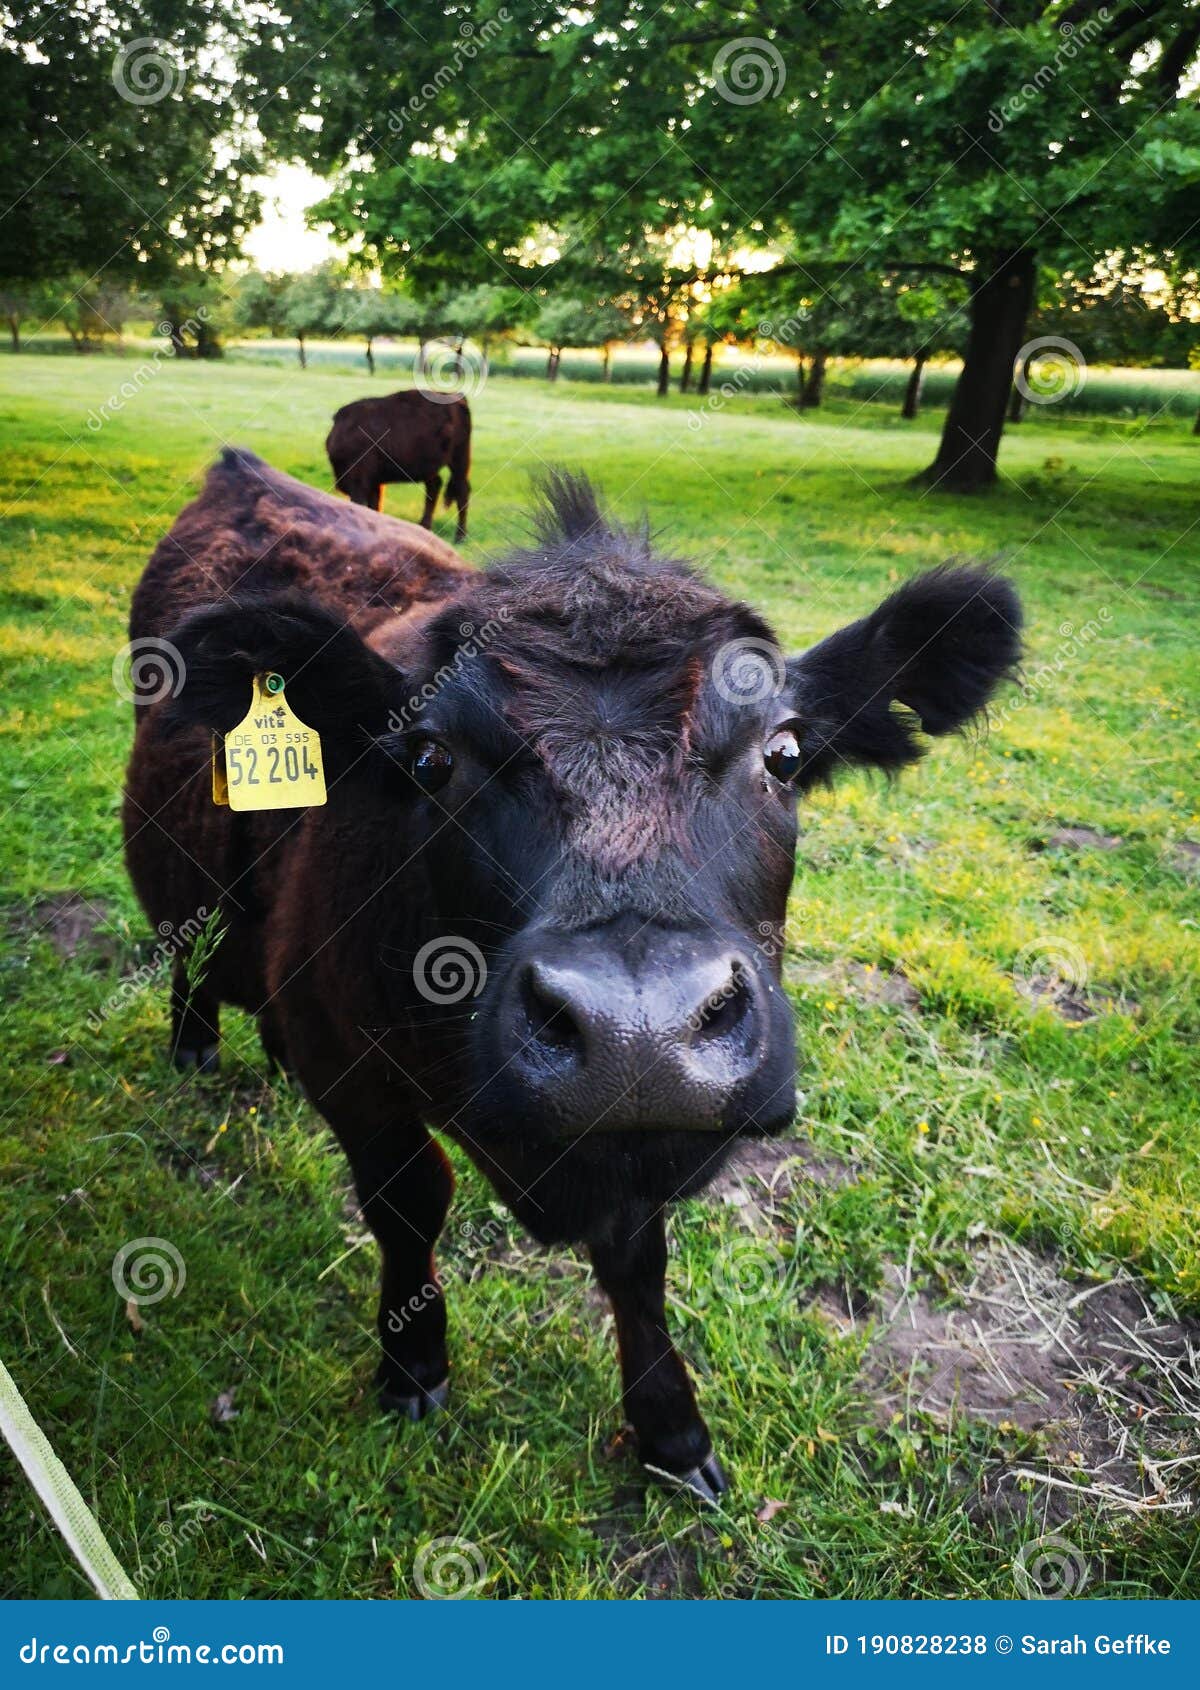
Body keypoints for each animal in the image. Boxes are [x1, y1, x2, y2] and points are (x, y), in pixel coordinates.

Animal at [123, 448, 1020, 1499]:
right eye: (429, 758)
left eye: (787, 751)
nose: (639, 1029)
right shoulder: (351, 1070)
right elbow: (409, 1199)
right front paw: (413, 1364)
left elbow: (637, 1258)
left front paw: (672, 1431)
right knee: (189, 948)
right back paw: (195, 1043)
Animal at [326, 388, 471, 541]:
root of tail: (457, 397)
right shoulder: (374, 483)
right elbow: (374, 506)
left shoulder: (360, 483)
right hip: (431, 468)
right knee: (434, 487)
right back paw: (424, 526)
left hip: (459, 460)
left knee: (462, 491)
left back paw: (459, 537)